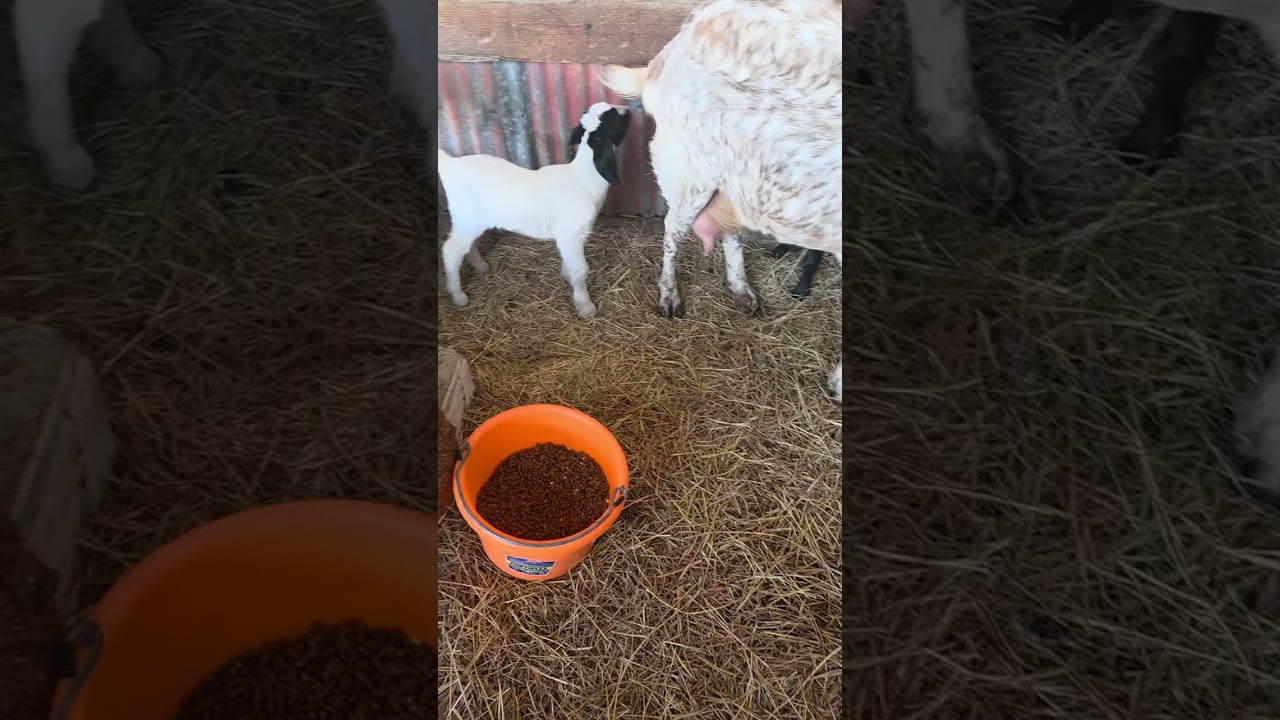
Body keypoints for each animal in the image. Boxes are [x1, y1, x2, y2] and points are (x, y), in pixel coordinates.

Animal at [436, 102, 631, 319]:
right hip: (466, 218)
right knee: (451, 251)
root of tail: (451, 164)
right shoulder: (569, 233)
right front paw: (585, 306)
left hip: (473, 221)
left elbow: (570, 264)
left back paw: (480, 266)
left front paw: (567, 276)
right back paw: (458, 295)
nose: (628, 109)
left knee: (467, 245)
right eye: (613, 118)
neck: (584, 177)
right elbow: (580, 270)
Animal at [601, 0, 842, 400]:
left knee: (731, 229)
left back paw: (742, 288)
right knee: (673, 228)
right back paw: (669, 296)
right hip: (688, 165)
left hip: (738, 173)